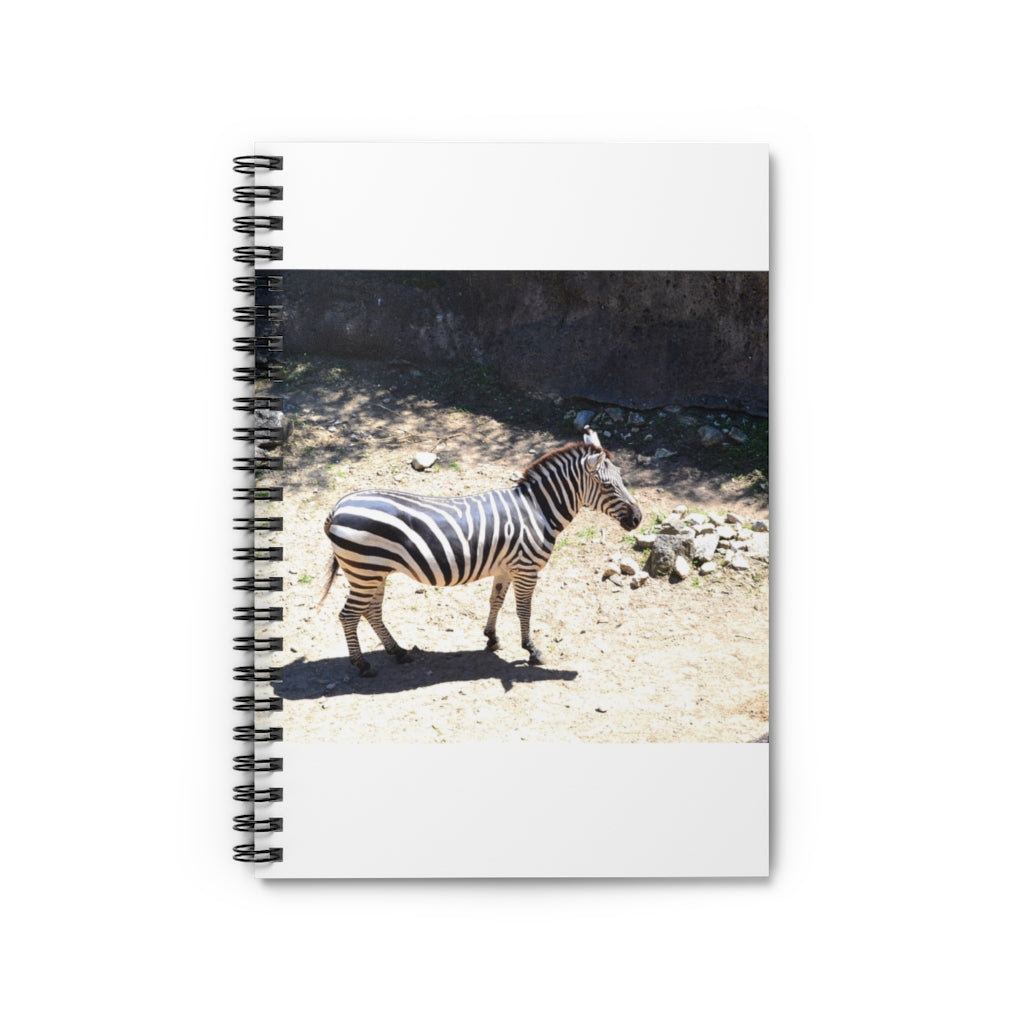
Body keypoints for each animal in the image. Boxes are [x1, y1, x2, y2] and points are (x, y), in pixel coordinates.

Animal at [319, 427, 642, 676]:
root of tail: (339, 506)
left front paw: (492, 638)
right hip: (365, 569)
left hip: (373, 570)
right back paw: (362, 665)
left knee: (370, 611)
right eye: (607, 485)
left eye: (622, 479)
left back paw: (397, 651)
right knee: (349, 614)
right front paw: (531, 649)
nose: (638, 518)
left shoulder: (506, 567)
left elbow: (495, 601)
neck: (538, 510)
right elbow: (524, 610)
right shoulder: (526, 569)